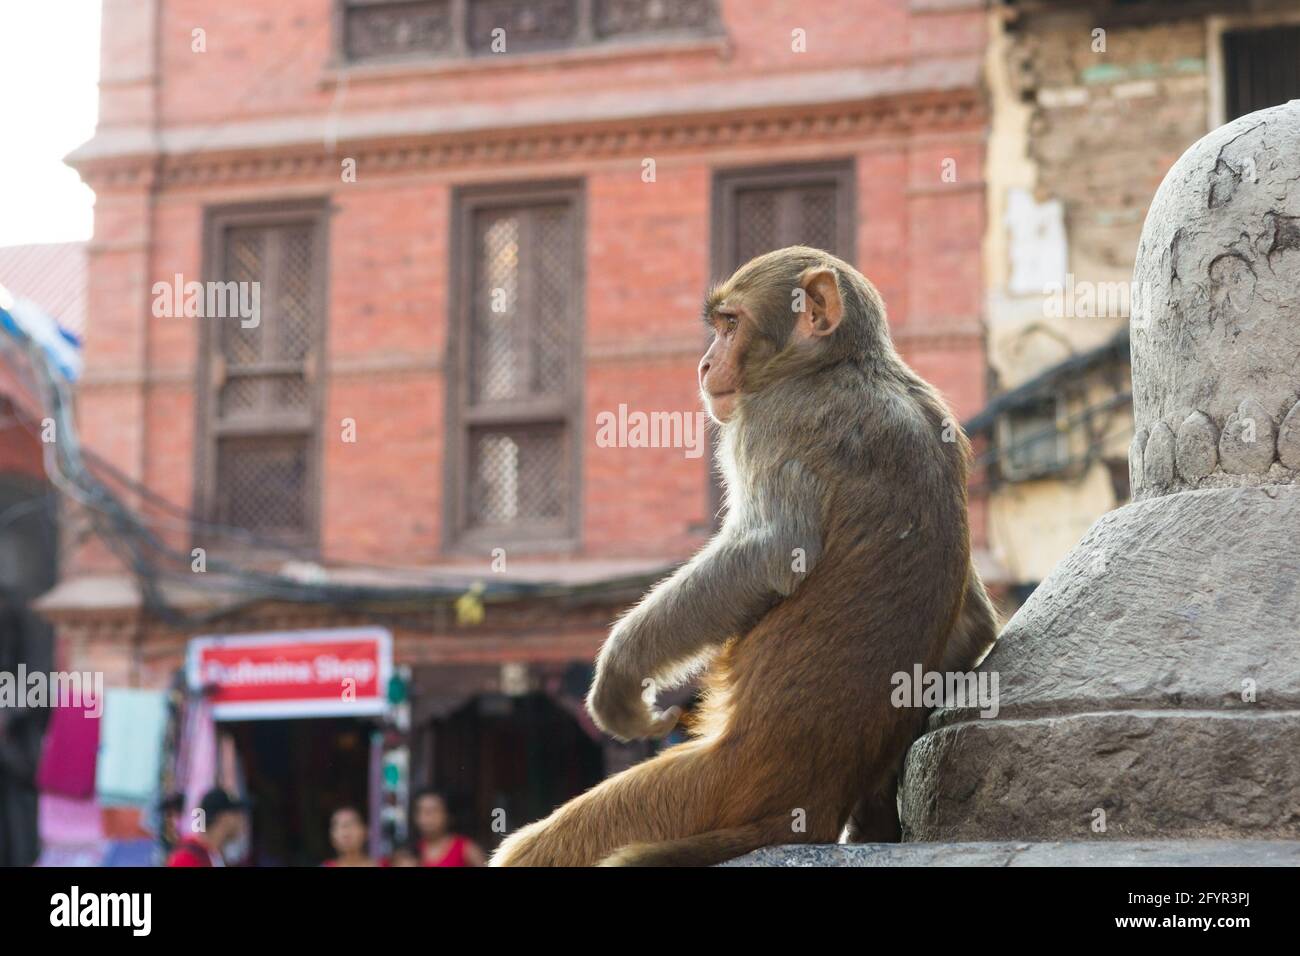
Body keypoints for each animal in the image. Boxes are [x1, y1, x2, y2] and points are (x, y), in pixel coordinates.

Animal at [490, 246, 998, 866]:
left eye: (731, 325)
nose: (705, 365)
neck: (837, 366)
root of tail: (808, 807)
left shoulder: (771, 419)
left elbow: (773, 550)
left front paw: (620, 671)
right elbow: (975, 621)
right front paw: (877, 805)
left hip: (704, 790)